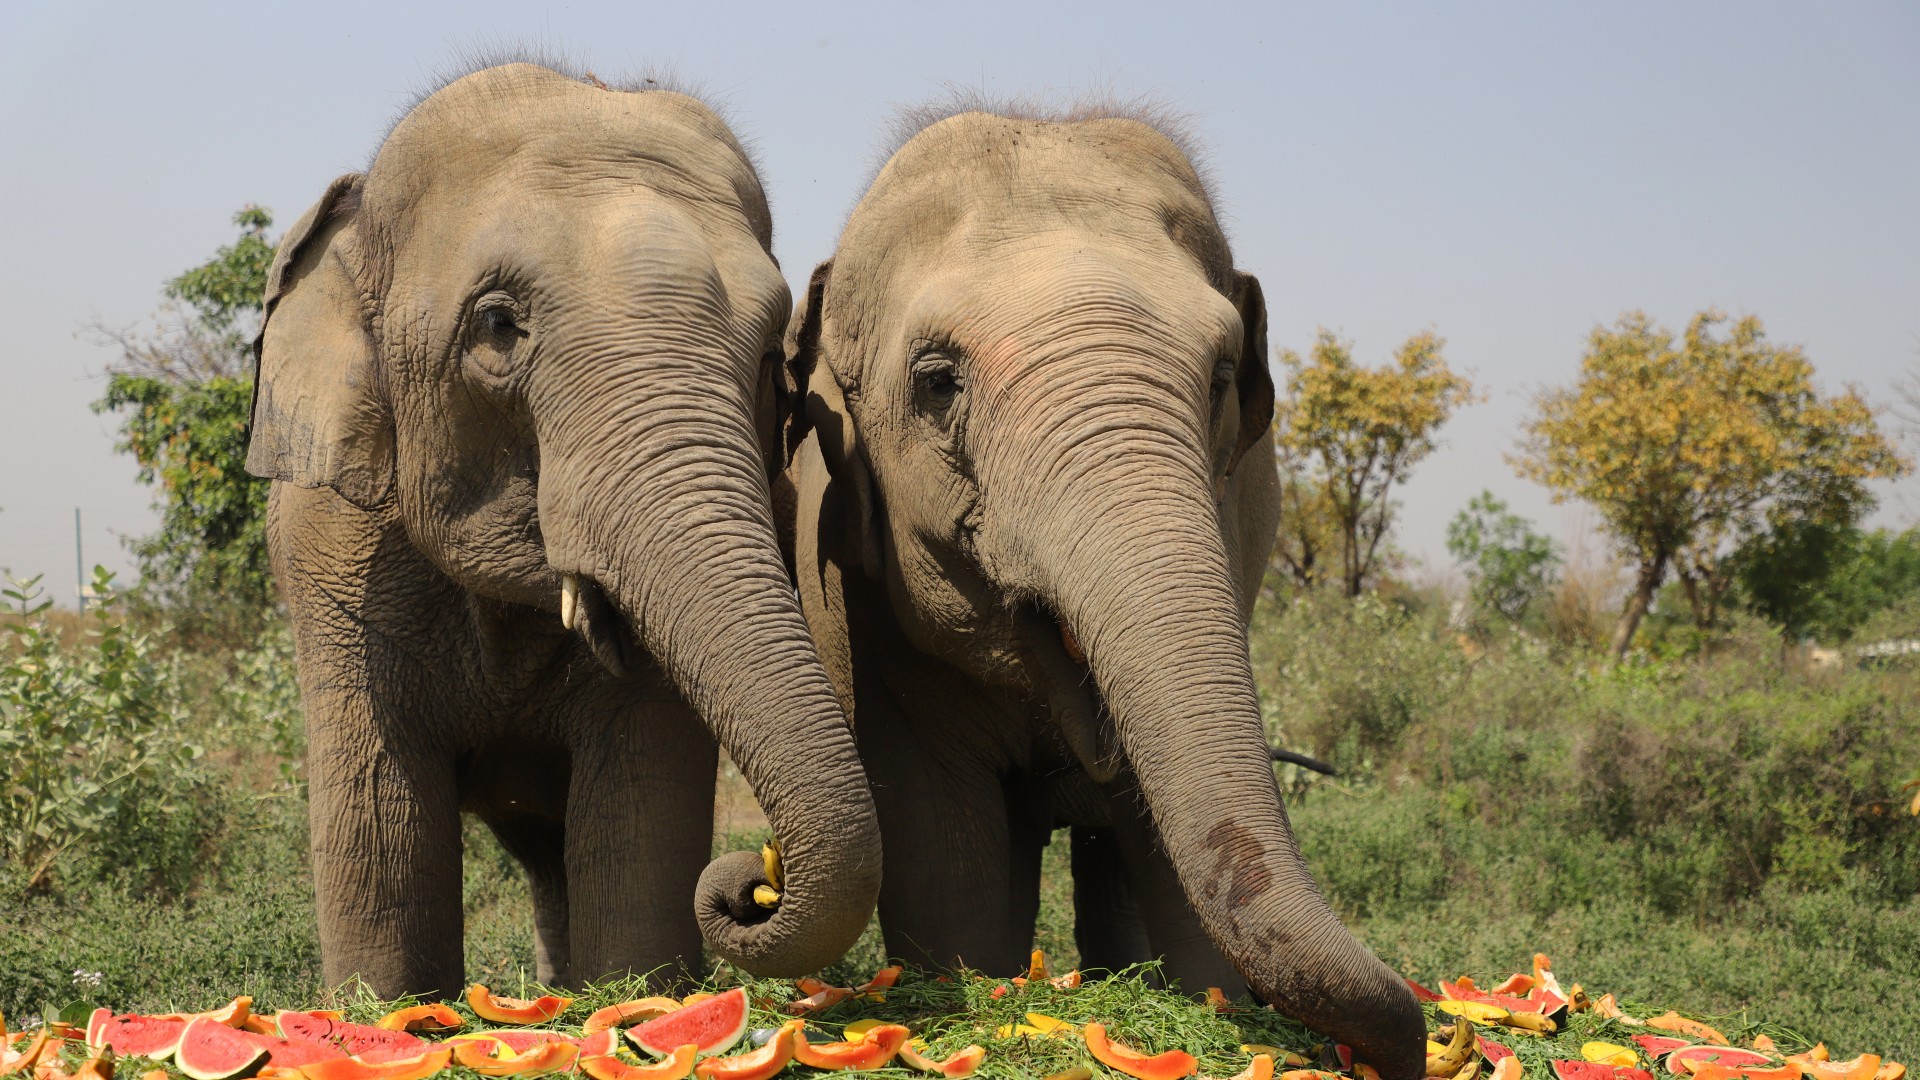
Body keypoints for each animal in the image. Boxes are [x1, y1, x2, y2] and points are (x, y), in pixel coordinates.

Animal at [246, 61, 880, 1000]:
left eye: (772, 353)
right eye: (498, 325)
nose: (751, 881)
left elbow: (640, 806)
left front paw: (635, 1000)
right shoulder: (335, 556)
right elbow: (380, 810)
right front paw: (383, 1011)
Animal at [780, 104, 1423, 1078]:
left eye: (1221, 378)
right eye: (936, 382)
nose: (1402, 1048)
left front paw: (1208, 1006)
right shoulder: (876, 622)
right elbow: (944, 850)